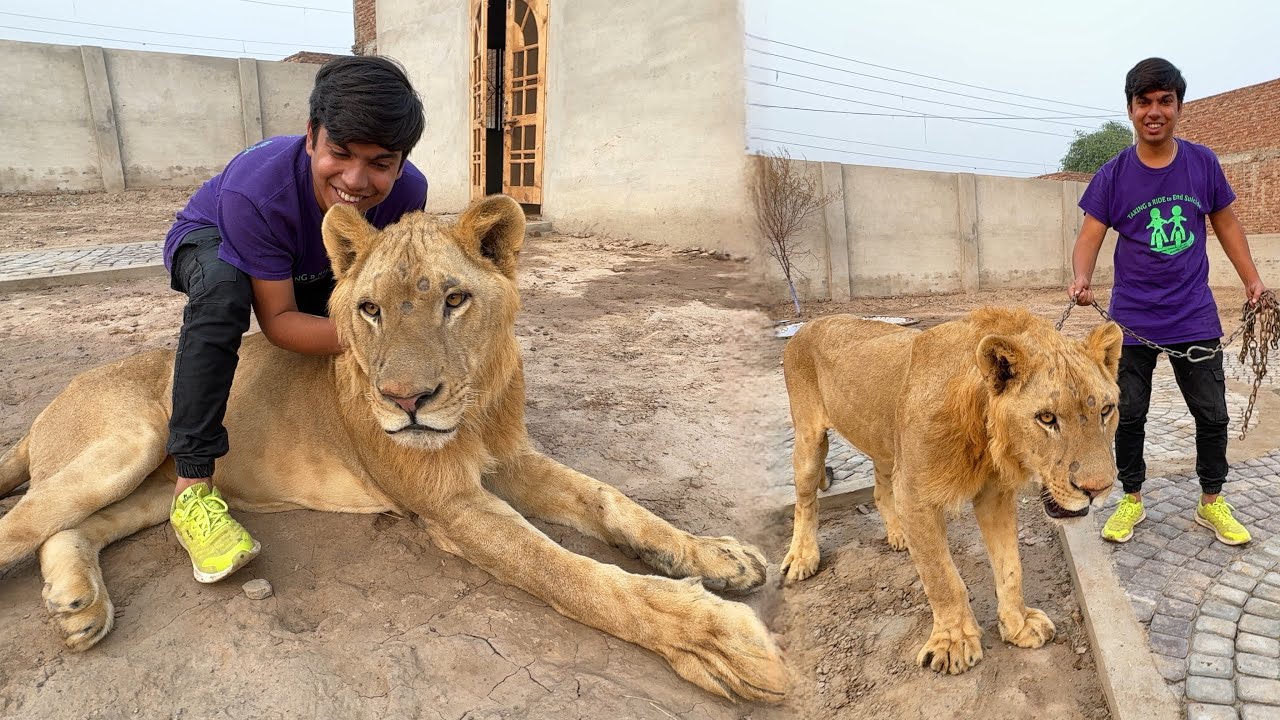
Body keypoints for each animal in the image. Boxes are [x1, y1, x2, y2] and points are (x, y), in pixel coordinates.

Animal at [0, 195, 789, 703]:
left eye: (454, 299)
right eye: (370, 309)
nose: (408, 400)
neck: (474, 407)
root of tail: (53, 402)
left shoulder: (511, 459)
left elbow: (612, 501)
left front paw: (717, 554)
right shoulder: (449, 504)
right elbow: (567, 573)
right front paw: (715, 639)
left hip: (159, 486)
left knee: (71, 528)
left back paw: (77, 604)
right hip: (132, 440)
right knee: (20, 522)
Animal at [779, 308, 1122, 674]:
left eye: (1106, 410)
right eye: (1046, 418)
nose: (1098, 489)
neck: (986, 435)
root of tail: (808, 325)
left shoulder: (994, 493)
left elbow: (1011, 567)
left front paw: (1018, 624)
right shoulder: (915, 495)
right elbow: (941, 577)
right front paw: (953, 641)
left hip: (887, 445)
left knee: (881, 489)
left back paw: (898, 534)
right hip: (809, 439)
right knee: (805, 500)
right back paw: (802, 558)